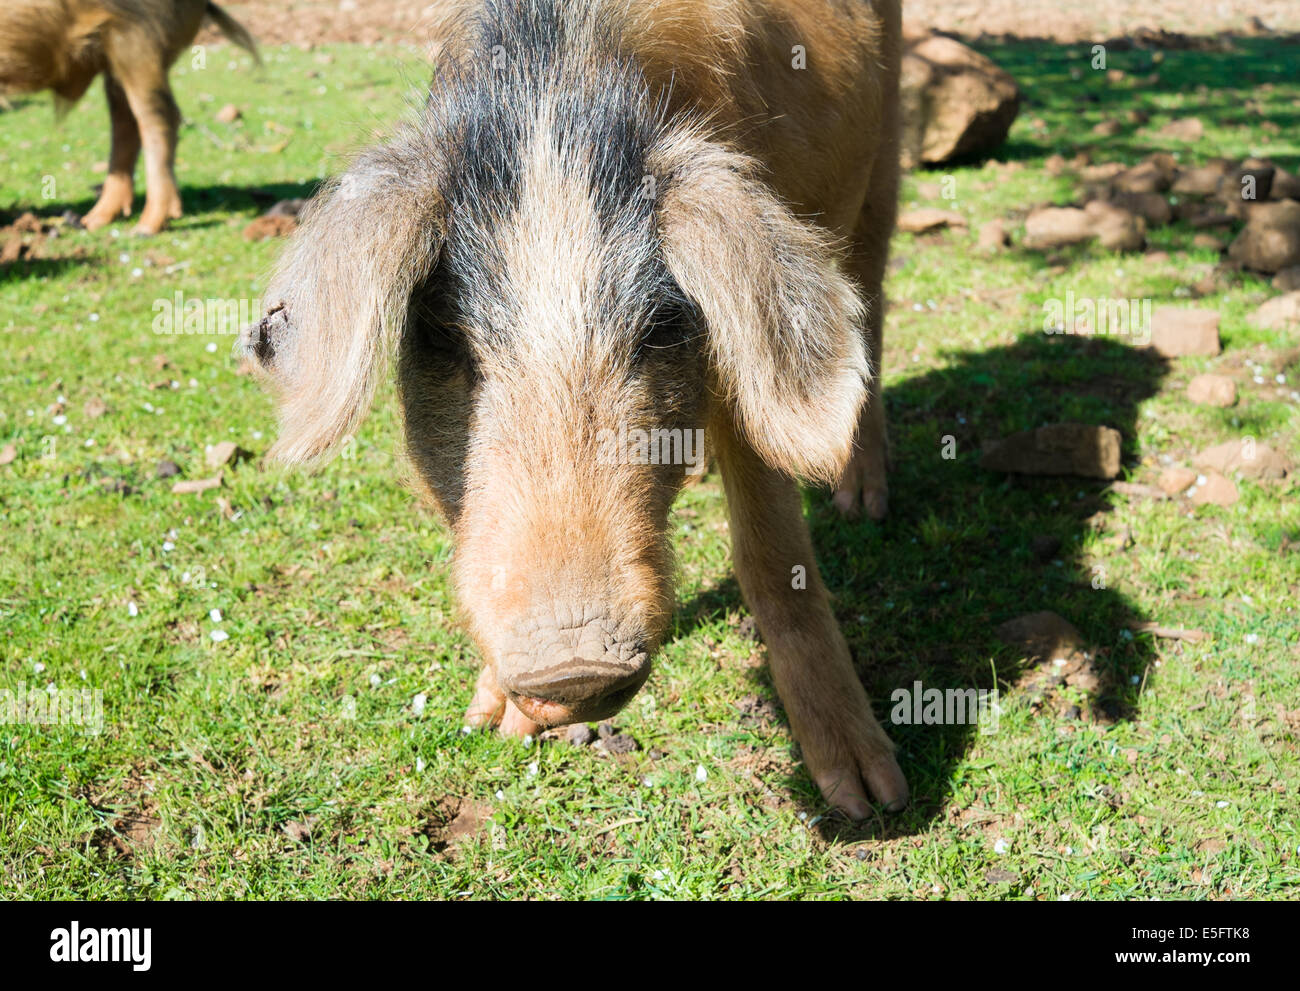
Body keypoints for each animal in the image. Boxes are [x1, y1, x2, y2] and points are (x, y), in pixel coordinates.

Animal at [241, 0, 907, 818]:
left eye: (661, 327)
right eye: (446, 334)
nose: (574, 666)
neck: (554, 94)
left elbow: (771, 547)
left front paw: (870, 801)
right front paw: (493, 723)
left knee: (870, 289)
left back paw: (861, 504)